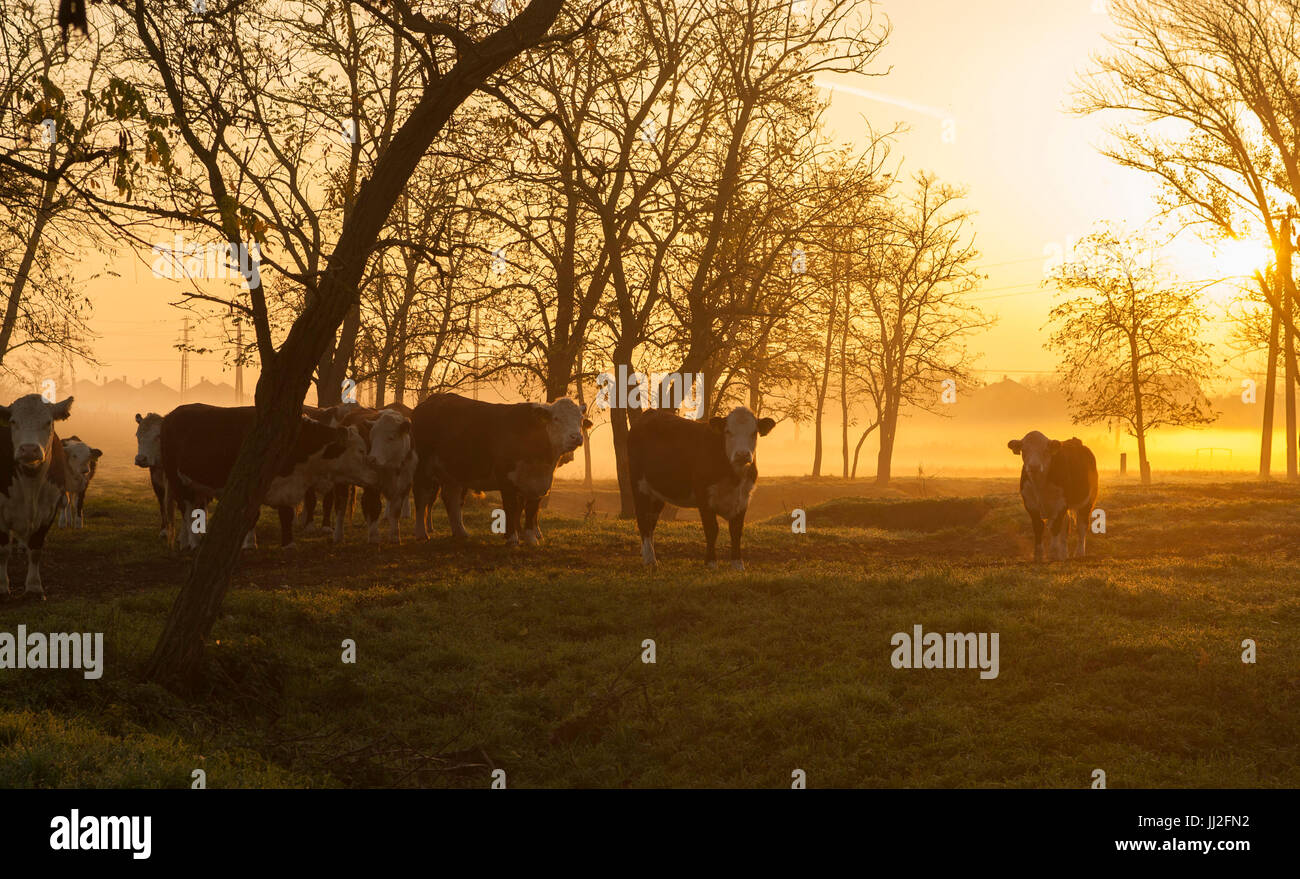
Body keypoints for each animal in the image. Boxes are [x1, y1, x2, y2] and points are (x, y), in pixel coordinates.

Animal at [0, 394, 73, 597]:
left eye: (48, 422)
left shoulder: (48, 511)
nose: (29, 449)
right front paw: (2, 585)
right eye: (13, 421)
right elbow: (3, 550)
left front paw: (34, 587)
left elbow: (36, 549)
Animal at [160, 404, 376, 550]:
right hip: (177, 479)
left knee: (192, 509)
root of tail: (173, 414)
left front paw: (288, 544)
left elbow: (286, 514)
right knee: (186, 510)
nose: (373, 472)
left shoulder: (285, 486)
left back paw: (188, 540)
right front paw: (249, 544)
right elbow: (253, 515)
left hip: (195, 485)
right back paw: (193, 542)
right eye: (360, 450)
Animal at [411, 394, 589, 545]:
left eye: (581, 419)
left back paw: (460, 532)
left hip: (453, 471)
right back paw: (421, 534)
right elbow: (512, 507)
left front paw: (531, 539)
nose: (576, 437)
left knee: (452, 498)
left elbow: (531, 509)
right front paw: (512, 539)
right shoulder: (506, 479)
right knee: (422, 496)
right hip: (423, 466)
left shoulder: (539, 483)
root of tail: (431, 401)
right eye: (556, 418)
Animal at [629, 406, 775, 570]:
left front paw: (738, 564)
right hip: (639, 486)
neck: (733, 477)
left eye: (754, 432)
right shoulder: (704, 496)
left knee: (651, 521)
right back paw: (650, 559)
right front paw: (711, 563)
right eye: (728, 431)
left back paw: (648, 554)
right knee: (643, 519)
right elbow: (712, 529)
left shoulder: (744, 497)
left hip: (658, 492)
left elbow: (736, 530)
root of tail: (650, 413)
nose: (742, 454)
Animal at [1007, 431, 1098, 562]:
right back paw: (1064, 554)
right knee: (1065, 527)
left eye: (1046, 450)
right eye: (1024, 450)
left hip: (1088, 500)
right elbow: (1039, 526)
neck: (1040, 485)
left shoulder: (1060, 504)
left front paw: (1054, 554)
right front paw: (1039, 555)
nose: (1034, 466)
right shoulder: (1030, 504)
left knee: (1081, 526)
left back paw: (1079, 553)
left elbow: (1055, 527)